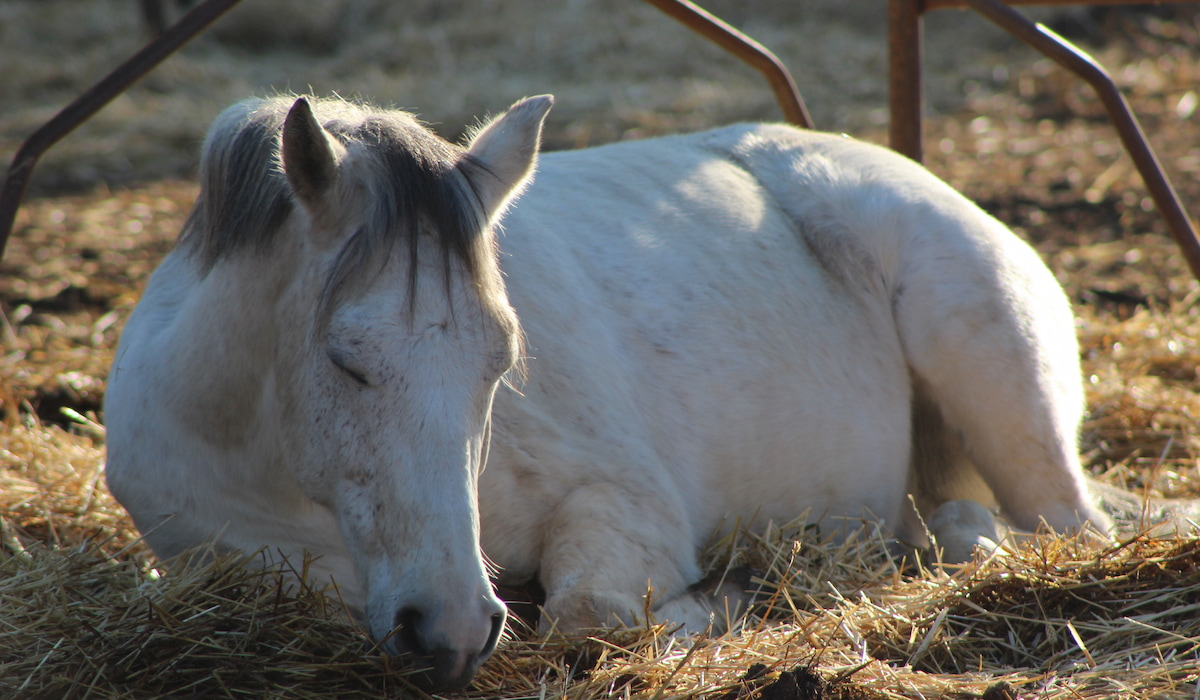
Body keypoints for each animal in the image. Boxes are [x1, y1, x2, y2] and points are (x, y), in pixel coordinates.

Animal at [104, 93, 1111, 690]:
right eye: (346, 360)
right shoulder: (225, 551)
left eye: (500, 364)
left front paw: (729, 595)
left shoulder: (622, 503)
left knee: (1062, 527)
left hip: (999, 391)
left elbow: (590, 616)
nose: (453, 626)